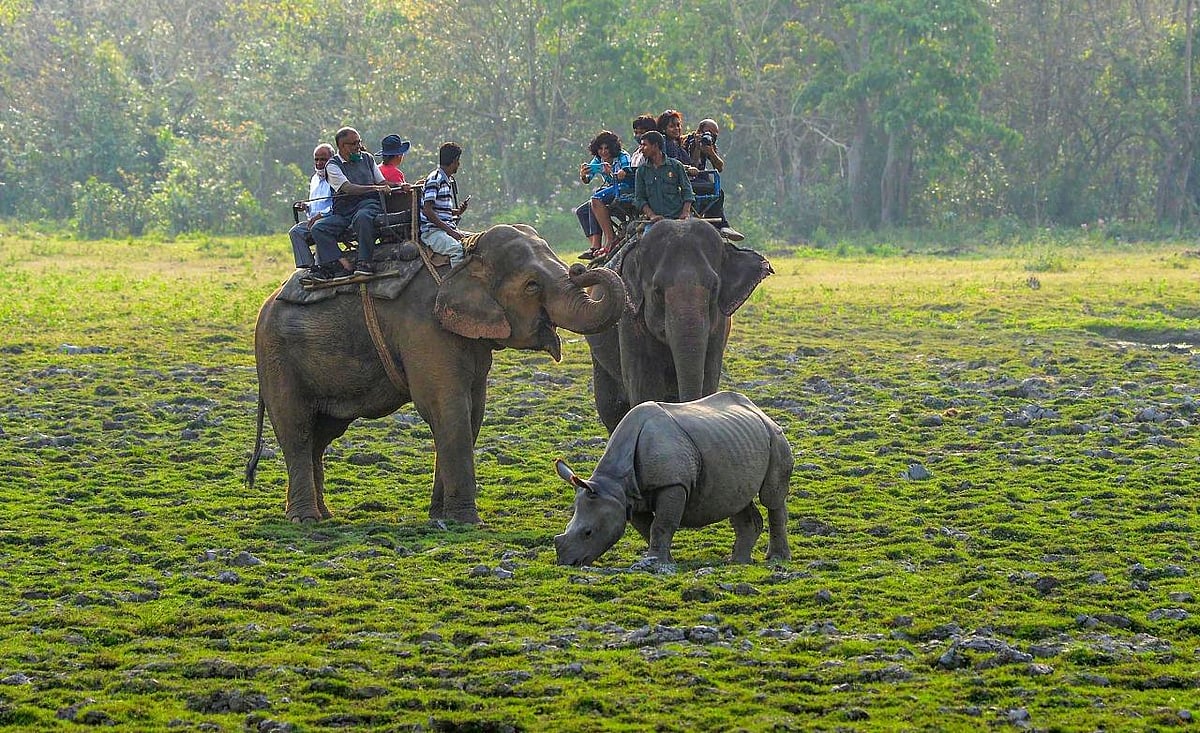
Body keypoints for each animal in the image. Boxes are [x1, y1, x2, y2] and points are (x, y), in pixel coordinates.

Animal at [245, 224, 626, 524]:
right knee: (297, 430)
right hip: (277, 358)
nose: (579, 266)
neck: (463, 258)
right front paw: (467, 521)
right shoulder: (424, 329)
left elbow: (471, 415)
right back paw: (305, 519)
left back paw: (323, 515)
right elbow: (446, 409)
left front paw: (440, 516)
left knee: (321, 435)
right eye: (532, 285)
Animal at [585, 218, 773, 433]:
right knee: (610, 407)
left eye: (714, 288)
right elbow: (643, 384)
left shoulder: (720, 327)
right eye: (657, 291)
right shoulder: (629, 318)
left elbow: (709, 375)